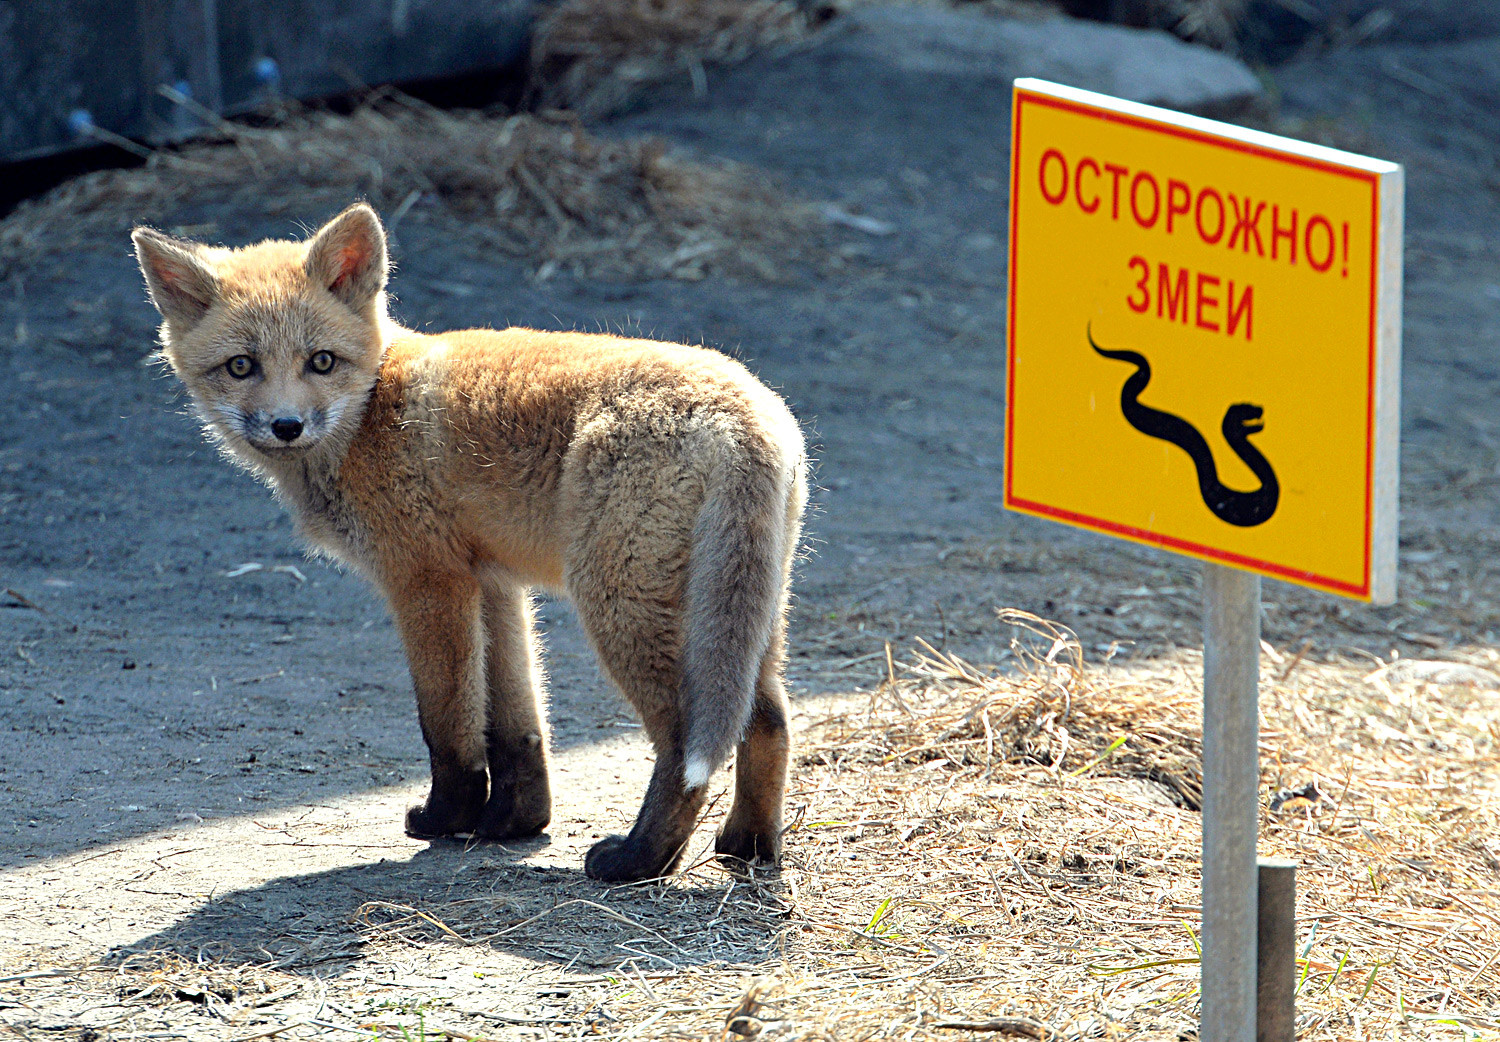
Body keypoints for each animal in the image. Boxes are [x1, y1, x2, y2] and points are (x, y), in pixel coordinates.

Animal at [131, 203, 807, 882]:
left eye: (320, 362)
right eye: (241, 366)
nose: (287, 426)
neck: (371, 408)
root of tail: (737, 411)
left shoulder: (428, 580)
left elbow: (447, 723)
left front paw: (446, 818)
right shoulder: (493, 580)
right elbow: (518, 724)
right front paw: (514, 822)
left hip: (621, 607)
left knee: (683, 739)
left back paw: (641, 858)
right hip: (746, 615)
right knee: (767, 720)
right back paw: (749, 845)